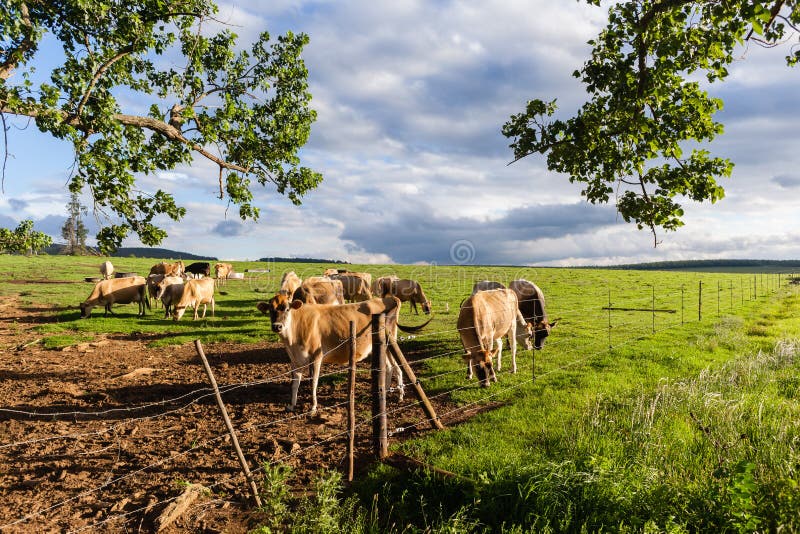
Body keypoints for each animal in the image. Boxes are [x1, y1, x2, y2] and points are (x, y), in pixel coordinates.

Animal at [257, 295, 425, 414]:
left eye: (287, 309)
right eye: (270, 310)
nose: (277, 326)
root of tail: (388, 297)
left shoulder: (316, 357)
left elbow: (313, 383)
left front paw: (313, 407)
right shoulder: (295, 360)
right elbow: (294, 384)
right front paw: (291, 405)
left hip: (390, 341)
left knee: (397, 367)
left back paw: (400, 395)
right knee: (389, 367)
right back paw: (386, 391)